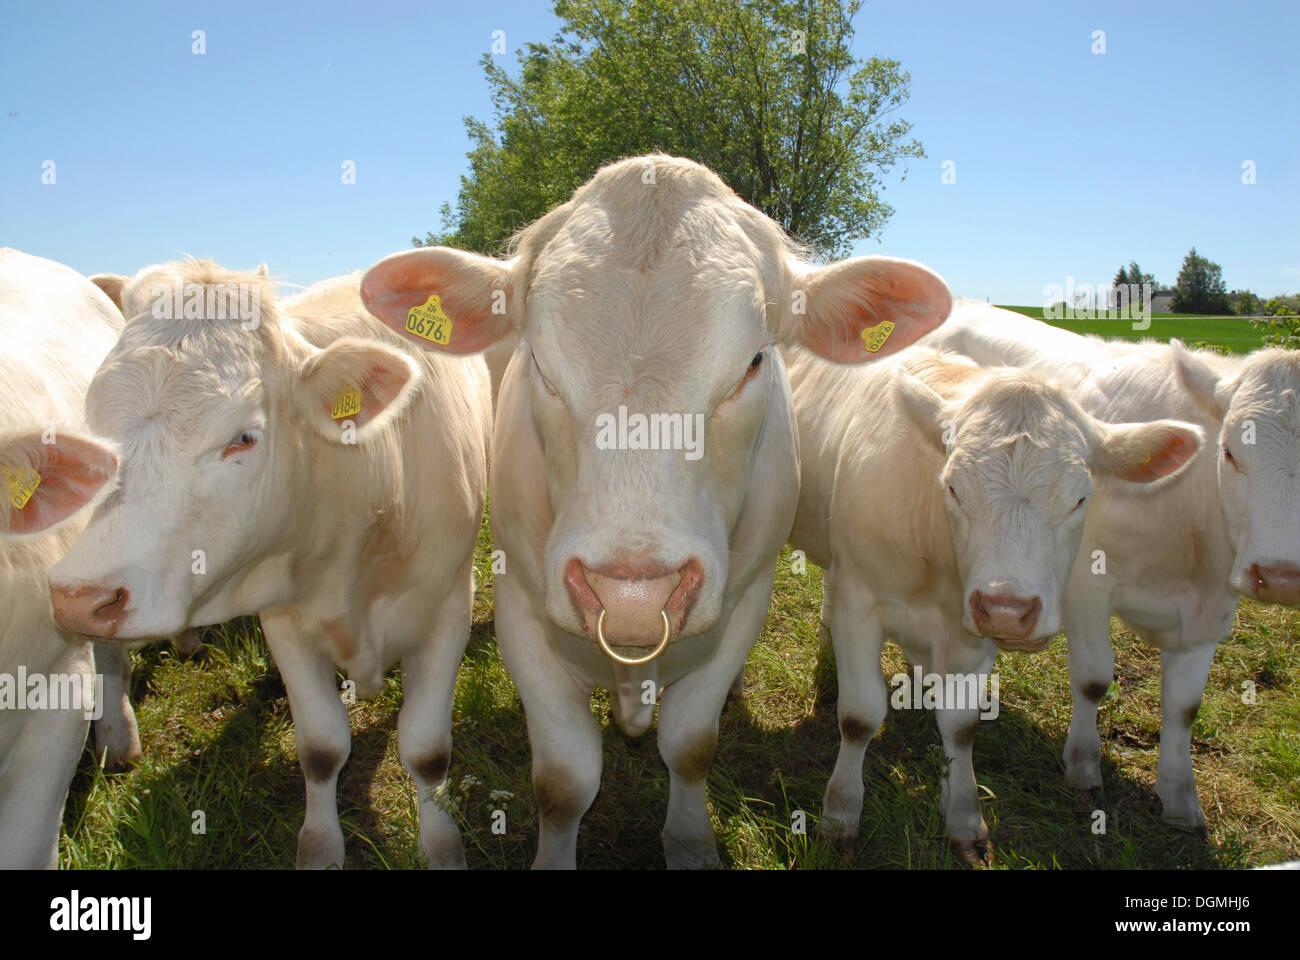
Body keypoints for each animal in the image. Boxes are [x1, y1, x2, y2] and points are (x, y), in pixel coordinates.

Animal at [47, 259, 492, 869]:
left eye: (244, 437)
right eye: (95, 424)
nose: (78, 597)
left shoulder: (449, 608)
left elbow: (427, 753)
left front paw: (442, 844)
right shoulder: (286, 621)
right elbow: (322, 748)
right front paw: (321, 846)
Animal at [357, 154, 952, 868]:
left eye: (754, 360)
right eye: (539, 362)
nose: (634, 598)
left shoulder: (742, 607)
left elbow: (691, 748)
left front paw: (690, 842)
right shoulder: (522, 614)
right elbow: (564, 781)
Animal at [784, 344, 1203, 863]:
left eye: (1080, 499)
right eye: (953, 487)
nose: (1007, 607)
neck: (937, 560)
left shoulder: (972, 637)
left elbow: (961, 725)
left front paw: (963, 813)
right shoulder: (858, 600)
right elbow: (860, 717)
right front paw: (841, 813)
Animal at [921, 299, 1300, 834]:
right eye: (1230, 452)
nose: (1283, 577)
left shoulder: (1210, 610)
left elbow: (1185, 707)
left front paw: (1181, 799)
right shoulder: (1084, 585)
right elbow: (1094, 677)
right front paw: (1083, 766)